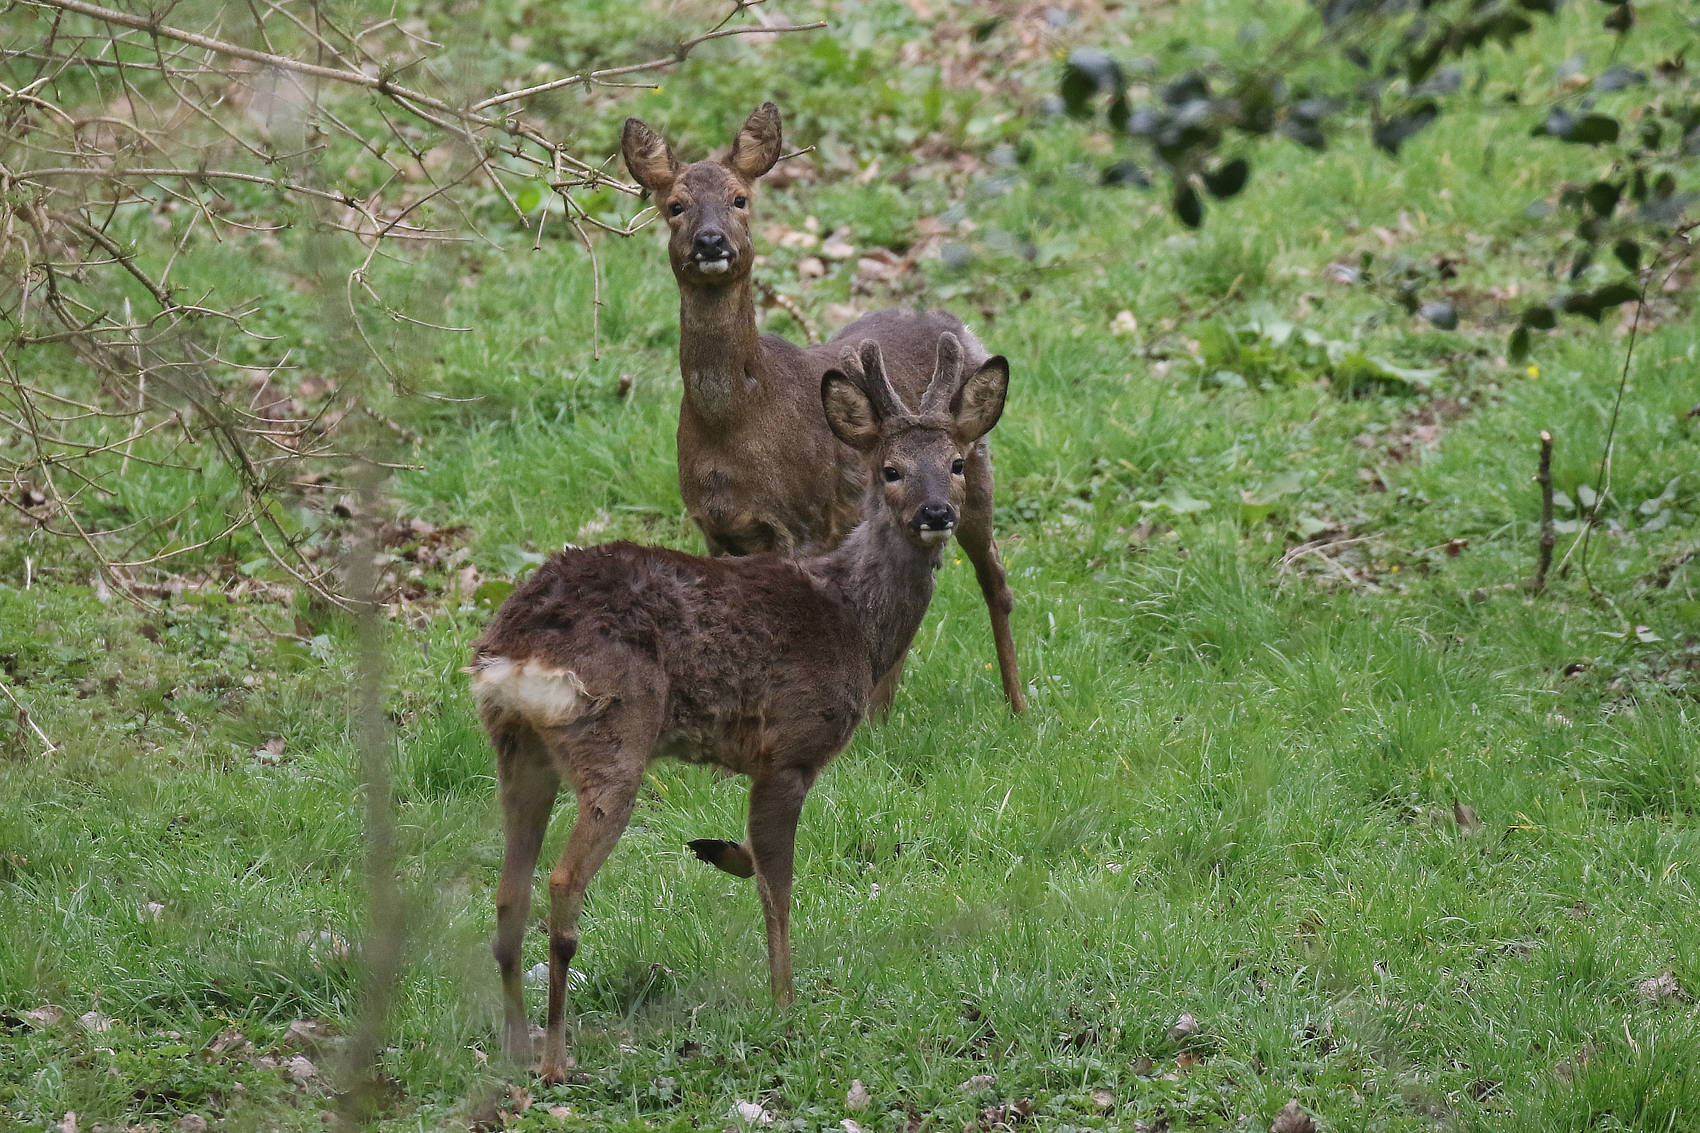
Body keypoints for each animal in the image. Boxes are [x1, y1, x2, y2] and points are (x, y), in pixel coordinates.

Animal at [469, 333, 1008, 1082]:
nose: (937, 514)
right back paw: (554, 1059)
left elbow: (757, 865)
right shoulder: (790, 748)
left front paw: (717, 850)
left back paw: (516, 1049)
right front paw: (785, 1003)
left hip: (519, 750)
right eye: (891, 470)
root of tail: (516, 647)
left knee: (507, 894)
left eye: (955, 463)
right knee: (562, 882)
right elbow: (779, 887)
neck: (853, 619)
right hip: (612, 732)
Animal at [620, 102, 1027, 720]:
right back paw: (882, 711)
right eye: (674, 205)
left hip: (977, 474)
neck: (734, 424)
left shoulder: (805, 520)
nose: (711, 241)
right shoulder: (713, 526)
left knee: (995, 581)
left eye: (741, 198)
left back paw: (1018, 706)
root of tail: (952, 319)